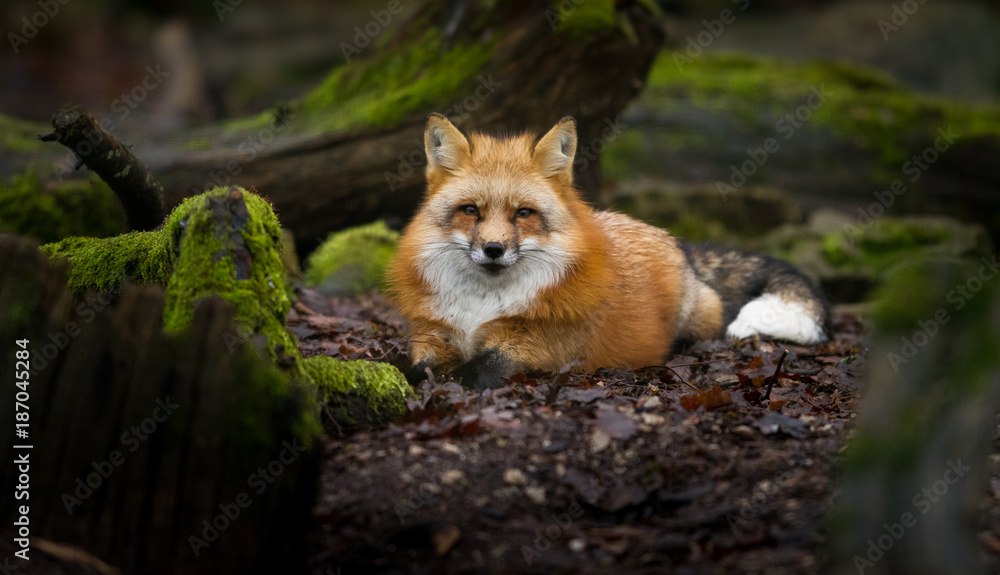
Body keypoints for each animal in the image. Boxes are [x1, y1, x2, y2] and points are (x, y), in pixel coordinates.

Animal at [388, 114, 830, 389]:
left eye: (523, 213)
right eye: (471, 211)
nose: (493, 249)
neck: (480, 307)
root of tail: (671, 239)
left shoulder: (537, 346)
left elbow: (471, 373)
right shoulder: (434, 336)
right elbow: (411, 369)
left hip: (696, 317)